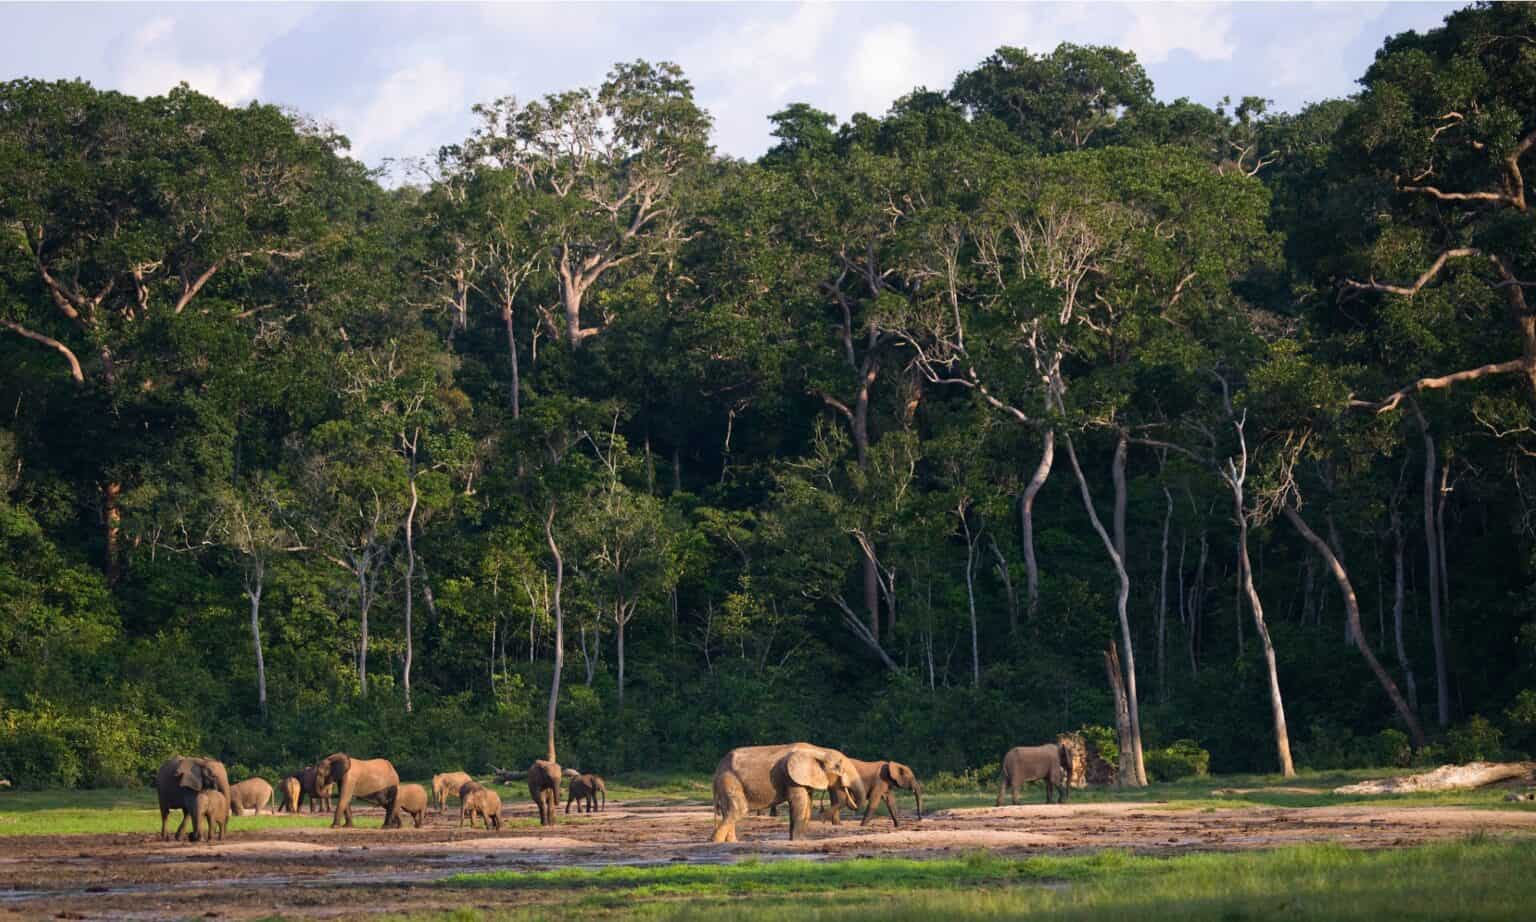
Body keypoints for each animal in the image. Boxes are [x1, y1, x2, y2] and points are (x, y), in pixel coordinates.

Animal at [711, 743, 858, 843]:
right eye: (838, 768)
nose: (822, 818)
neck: (817, 751)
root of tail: (717, 769)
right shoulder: (791, 778)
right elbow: (800, 803)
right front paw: (798, 840)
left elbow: (807, 804)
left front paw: (800, 840)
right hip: (729, 780)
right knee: (738, 809)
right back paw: (715, 841)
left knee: (729, 810)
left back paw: (731, 842)